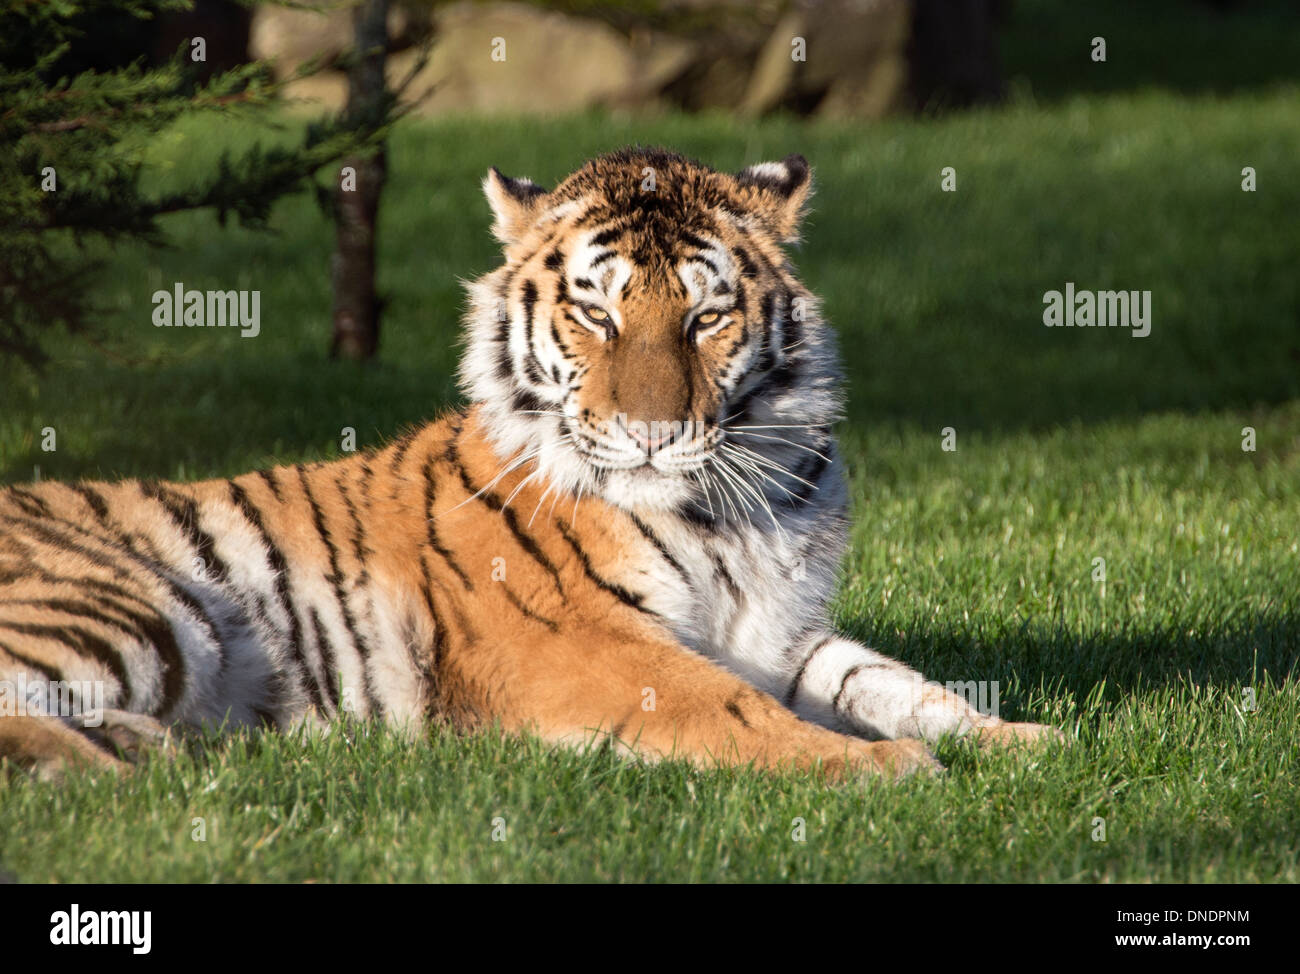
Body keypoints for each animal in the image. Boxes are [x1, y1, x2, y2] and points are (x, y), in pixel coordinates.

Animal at [0, 147, 1061, 783]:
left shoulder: (779, 631)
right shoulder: (584, 644)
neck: (737, 505)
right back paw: (112, 763)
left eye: (705, 317)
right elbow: (733, 708)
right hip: (128, 599)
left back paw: (147, 744)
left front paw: (1026, 741)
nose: (651, 431)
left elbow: (896, 683)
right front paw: (888, 769)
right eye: (596, 312)